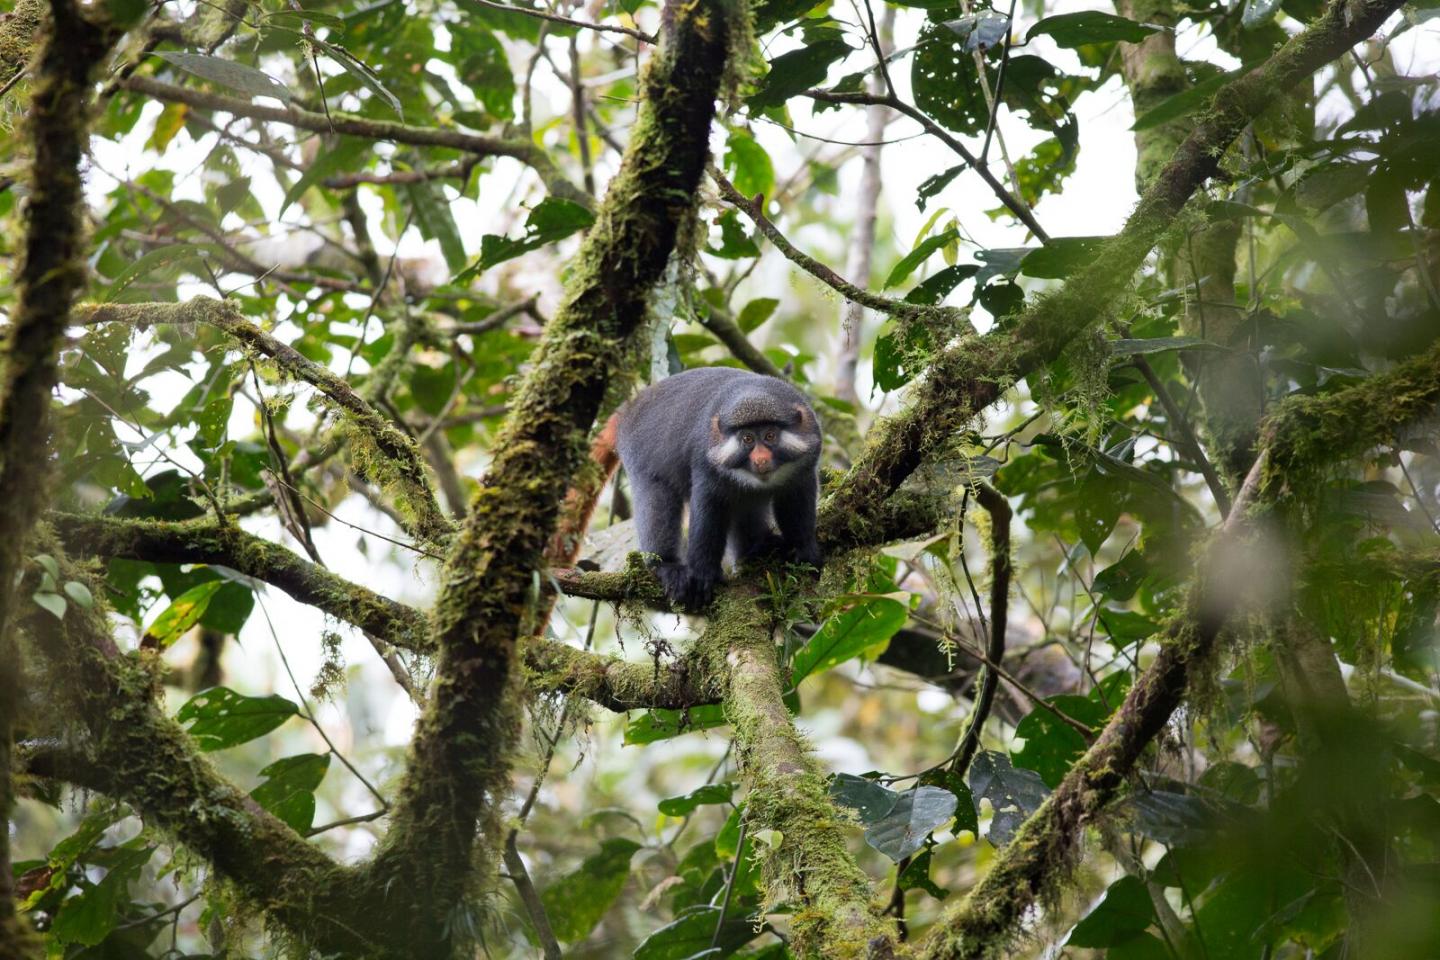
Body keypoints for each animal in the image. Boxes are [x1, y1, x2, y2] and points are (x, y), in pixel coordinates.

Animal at [614, 367, 823, 611]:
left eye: (770, 436)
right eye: (747, 439)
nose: (761, 459)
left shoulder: (806, 459)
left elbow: (796, 499)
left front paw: (804, 549)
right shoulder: (707, 461)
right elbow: (708, 509)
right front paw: (704, 575)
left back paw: (757, 551)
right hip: (638, 456)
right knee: (656, 500)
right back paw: (666, 566)